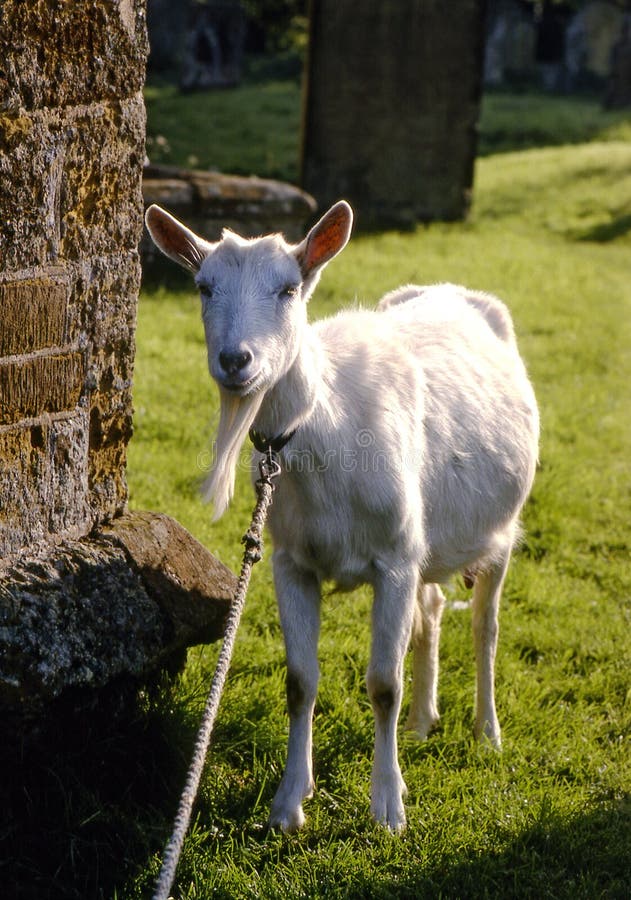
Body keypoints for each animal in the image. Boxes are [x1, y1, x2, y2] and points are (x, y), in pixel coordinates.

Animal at [145, 200, 539, 833]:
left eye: (288, 288)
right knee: (432, 609)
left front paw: (388, 808)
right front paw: (288, 804)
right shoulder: (290, 559)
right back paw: (423, 722)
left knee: (486, 624)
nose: (235, 360)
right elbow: (299, 681)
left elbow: (383, 684)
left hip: (501, 530)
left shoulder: (395, 557)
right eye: (204, 286)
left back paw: (487, 732)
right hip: (429, 539)